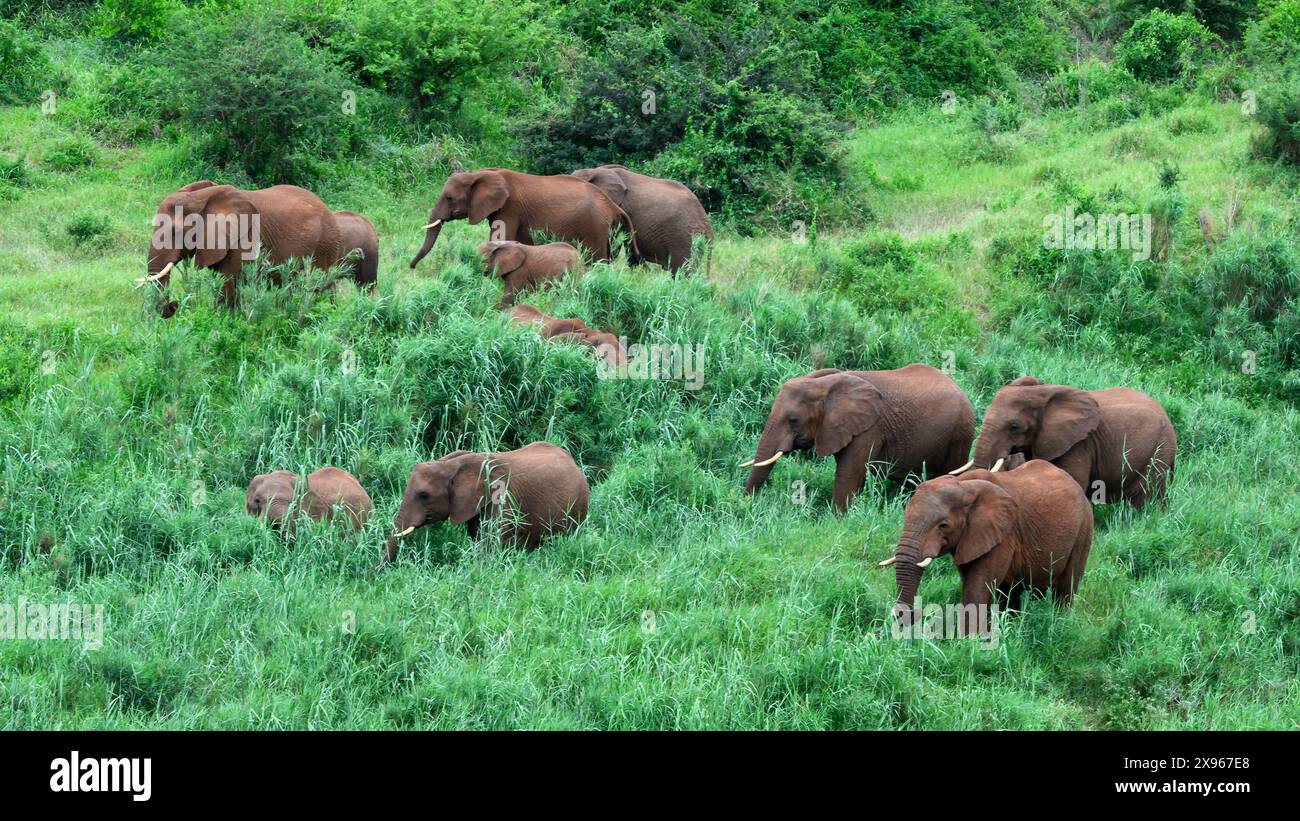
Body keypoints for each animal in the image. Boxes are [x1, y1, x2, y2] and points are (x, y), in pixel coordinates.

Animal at [140, 181, 365, 316]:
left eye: (175, 232)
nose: (174, 305)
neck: (202, 197)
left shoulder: (244, 238)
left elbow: (228, 281)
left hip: (326, 244)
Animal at [409, 168, 638, 268]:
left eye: (449, 198)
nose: (412, 267)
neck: (479, 173)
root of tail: (611, 205)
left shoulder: (510, 208)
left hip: (595, 226)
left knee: (596, 259)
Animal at [742, 364, 976, 513]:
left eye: (793, 420)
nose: (746, 503)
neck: (825, 385)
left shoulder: (870, 428)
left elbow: (849, 474)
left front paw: (837, 520)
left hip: (961, 434)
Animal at [880, 459, 1094, 636]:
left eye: (944, 525)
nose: (914, 615)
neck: (963, 485)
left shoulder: (1003, 534)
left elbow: (978, 584)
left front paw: (967, 643)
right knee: (1012, 593)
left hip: (1084, 529)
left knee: (1067, 586)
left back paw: (1059, 625)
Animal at [963, 376, 1177, 509]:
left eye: (1013, 427)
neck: (1042, 392)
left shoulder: (1078, 444)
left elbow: (1073, 479)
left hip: (1158, 450)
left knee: (1146, 496)